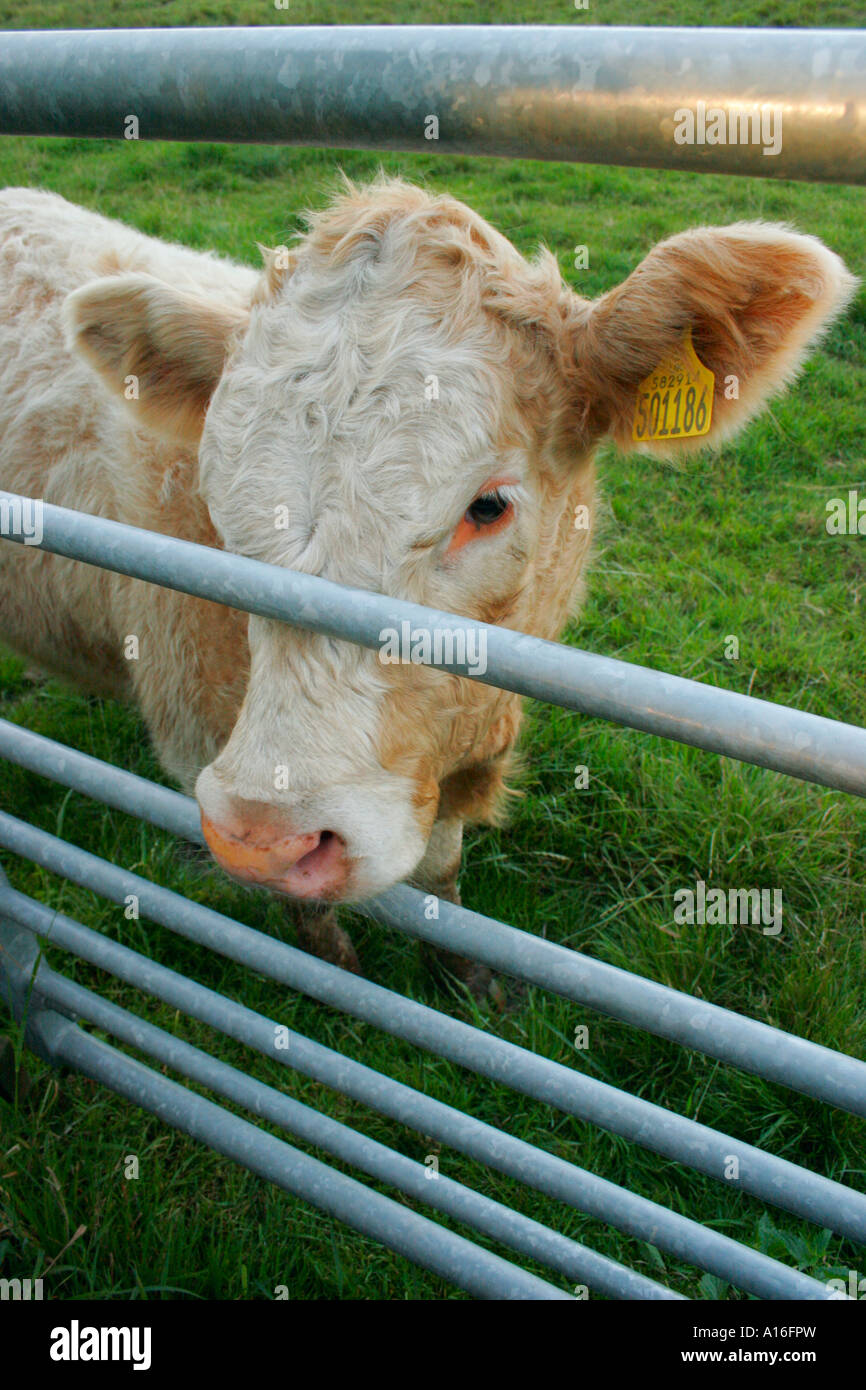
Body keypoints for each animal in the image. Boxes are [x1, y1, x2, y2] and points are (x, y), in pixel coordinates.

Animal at [0, 178, 856, 989]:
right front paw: (336, 976)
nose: (268, 837)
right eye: (216, 500)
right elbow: (310, 915)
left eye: (488, 506)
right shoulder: (191, 736)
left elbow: (443, 870)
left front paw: (468, 978)